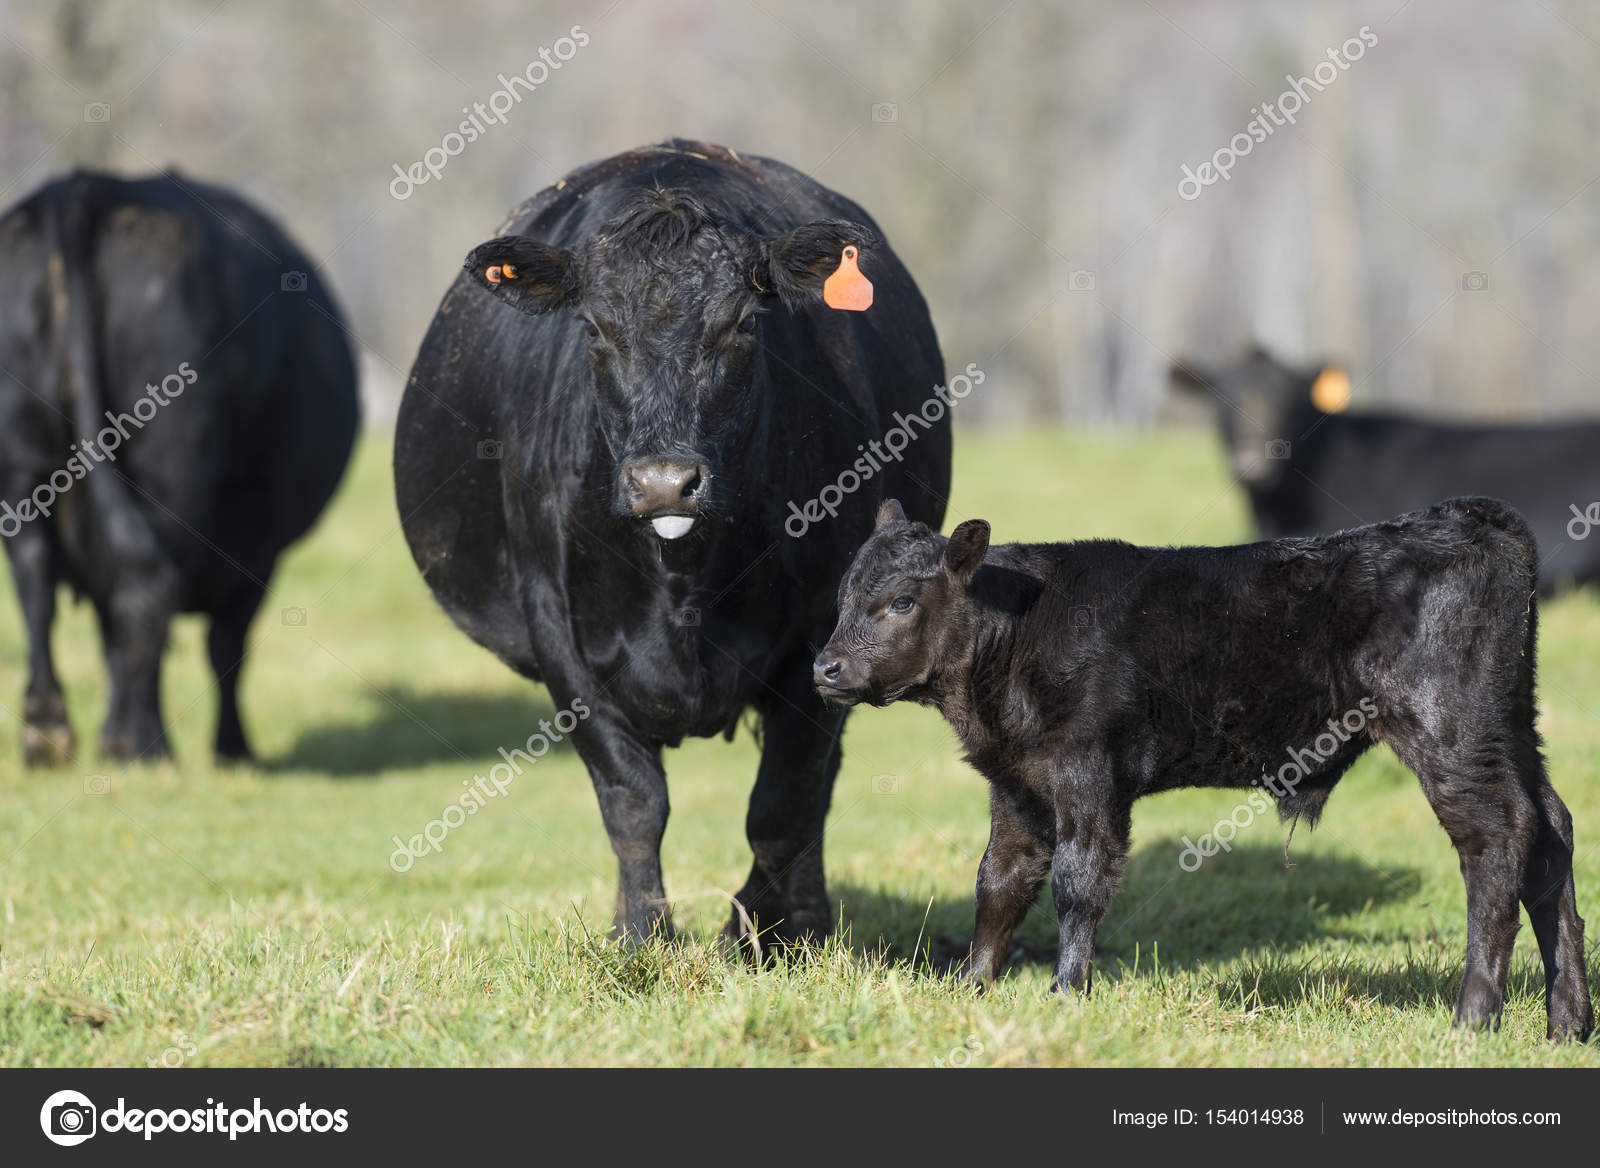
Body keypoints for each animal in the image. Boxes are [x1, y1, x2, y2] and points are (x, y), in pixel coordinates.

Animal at [0, 171, 359, 765]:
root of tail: (87, 186)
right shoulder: (256, 550)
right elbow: (225, 647)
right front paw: (233, 749)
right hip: (171, 484)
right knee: (143, 595)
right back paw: (143, 746)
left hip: (22, 473)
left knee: (38, 585)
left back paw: (49, 731)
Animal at [394, 141, 950, 944]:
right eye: (594, 329)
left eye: (743, 325)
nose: (664, 482)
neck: (682, 587)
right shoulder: (558, 632)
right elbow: (633, 799)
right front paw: (638, 936)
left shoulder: (824, 631)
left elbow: (783, 801)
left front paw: (765, 935)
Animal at [815, 496, 1593, 1040]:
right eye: (842, 596)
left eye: (902, 601)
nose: (825, 667)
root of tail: (1468, 516)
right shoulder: (1018, 785)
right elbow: (999, 885)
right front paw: (970, 993)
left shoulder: (1088, 774)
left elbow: (1078, 883)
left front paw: (1066, 996)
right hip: (1513, 726)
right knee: (1551, 833)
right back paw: (1568, 1023)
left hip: (1450, 730)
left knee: (1497, 837)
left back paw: (1473, 1019)